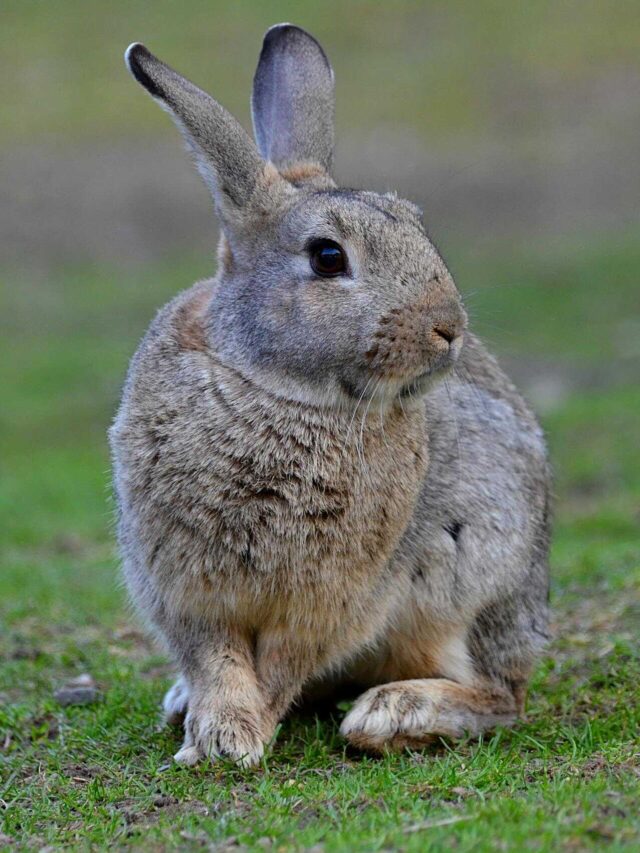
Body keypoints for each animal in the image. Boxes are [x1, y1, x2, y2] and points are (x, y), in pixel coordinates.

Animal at [110, 23, 551, 767]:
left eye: (416, 225)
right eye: (326, 257)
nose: (449, 327)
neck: (277, 387)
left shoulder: (332, 595)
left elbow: (284, 662)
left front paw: (238, 736)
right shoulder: (185, 586)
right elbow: (214, 657)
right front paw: (219, 733)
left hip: (475, 577)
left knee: (502, 697)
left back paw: (393, 713)